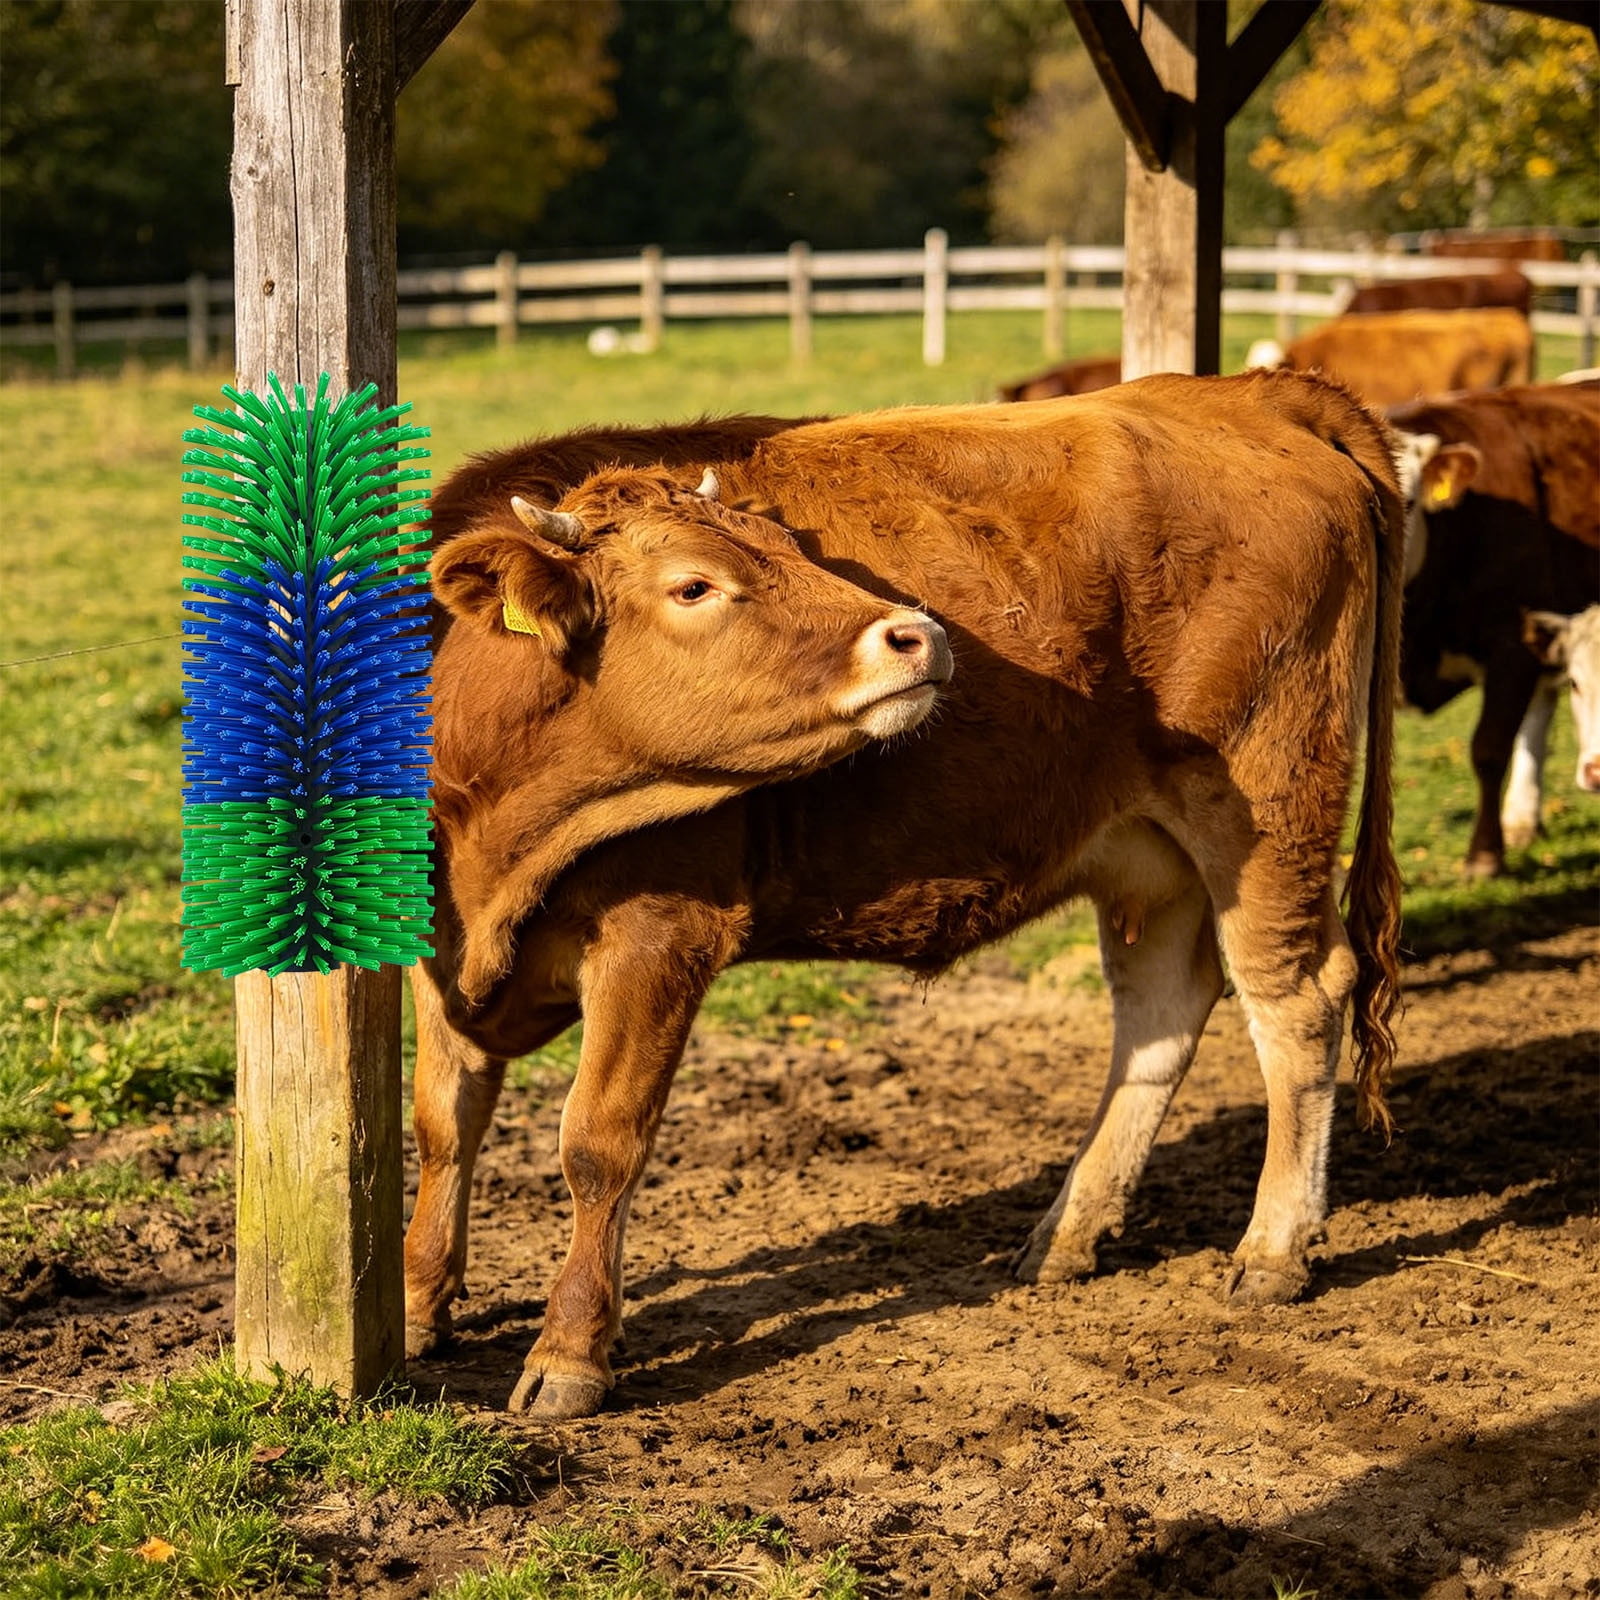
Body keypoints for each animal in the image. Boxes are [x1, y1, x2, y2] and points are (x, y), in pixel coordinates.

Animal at [404, 370, 1406, 1418]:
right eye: (693, 584)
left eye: (783, 548)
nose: (917, 633)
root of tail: (1247, 394)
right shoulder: (432, 947)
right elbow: (442, 1123)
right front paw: (416, 1309)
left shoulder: (660, 936)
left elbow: (599, 1142)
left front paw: (568, 1353)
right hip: (1147, 846)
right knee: (1162, 1014)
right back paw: (1067, 1232)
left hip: (1266, 805)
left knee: (1298, 1000)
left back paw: (1274, 1247)